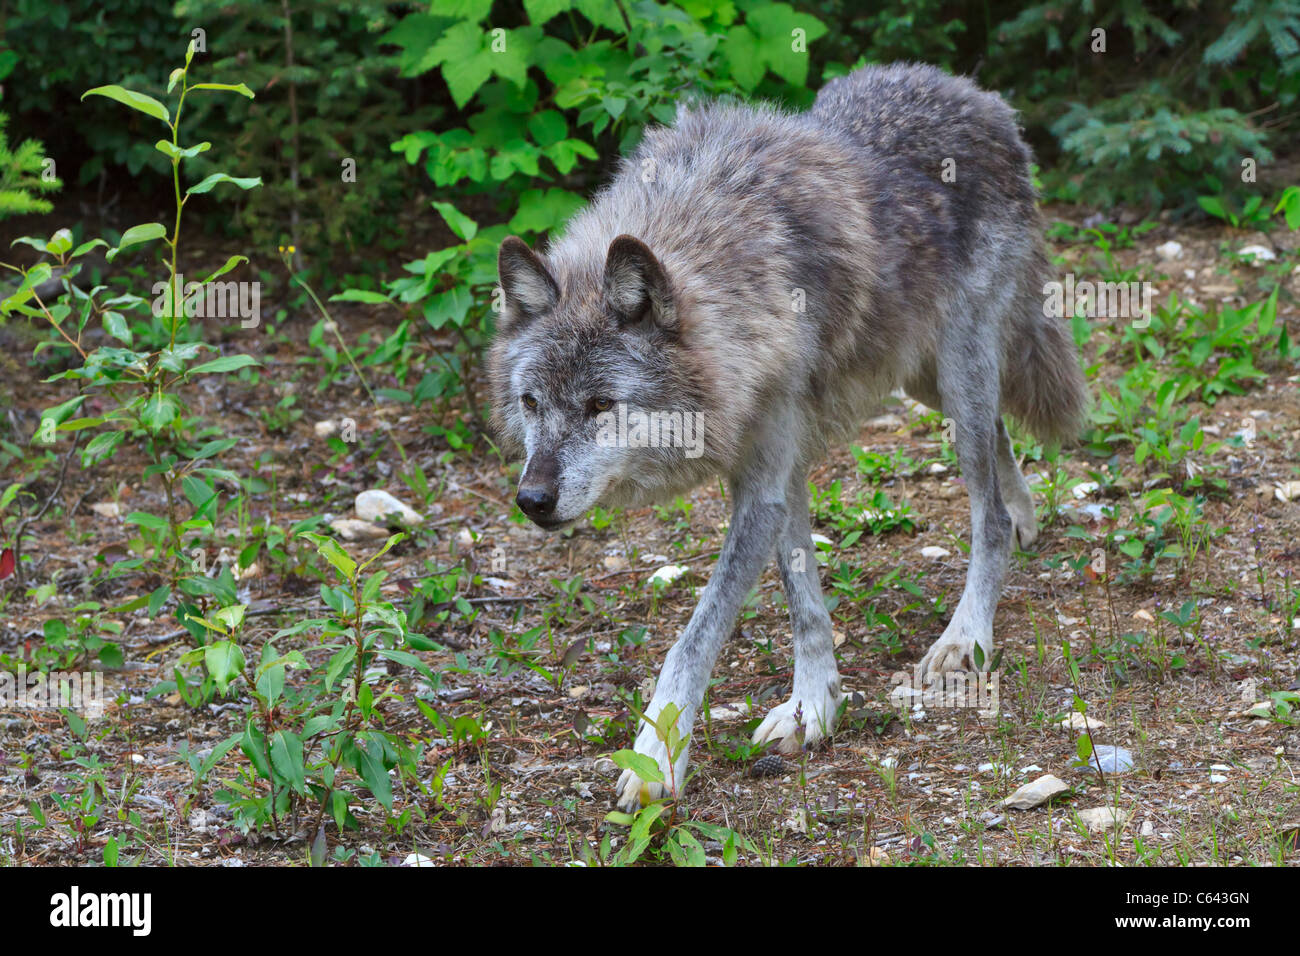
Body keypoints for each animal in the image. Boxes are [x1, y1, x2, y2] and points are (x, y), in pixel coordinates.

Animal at [488, 63, 1086, 812]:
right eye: (530, 402)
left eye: (601, 405)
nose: (532, 500)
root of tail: (978, 95)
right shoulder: (779, 474)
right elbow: (804, 603)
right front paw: (814, 709)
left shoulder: (764, 482)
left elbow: (693, 638)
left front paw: (656, 757)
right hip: (925, 378)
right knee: (1004, 444)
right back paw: (1026, 515)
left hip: (958, 374)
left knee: (988, 512)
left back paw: (968, 634)